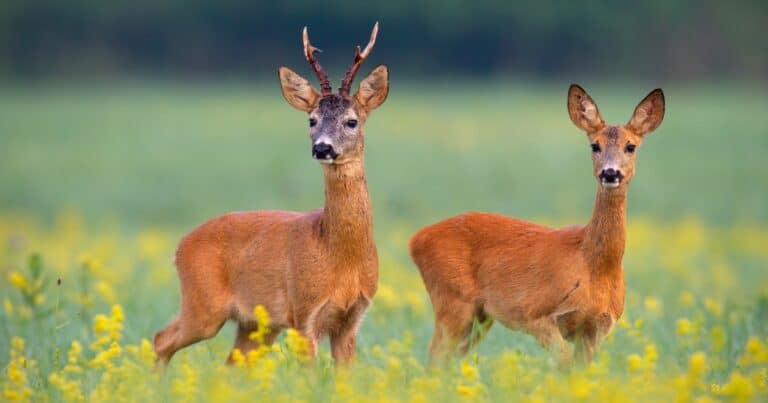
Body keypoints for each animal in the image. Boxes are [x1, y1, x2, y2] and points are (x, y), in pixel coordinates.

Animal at [153, 23, 388, 367]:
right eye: (311, 120)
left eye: (351, 121)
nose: (322, 148)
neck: (339, 256)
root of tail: (179, 247)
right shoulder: (304, 312)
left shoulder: (352, 319)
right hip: (203, 305)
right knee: (161, 340)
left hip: (255, 324)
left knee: (230, 362)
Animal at [409, 85, 665, 366]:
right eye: (594, 145)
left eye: (631, 146)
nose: (610, 173)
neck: (593, 265)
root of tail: (415, 240)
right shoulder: (537, 313)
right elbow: (565, 366)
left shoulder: (598, 326)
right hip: (452, 300)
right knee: (434, 357)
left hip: (479, 316)